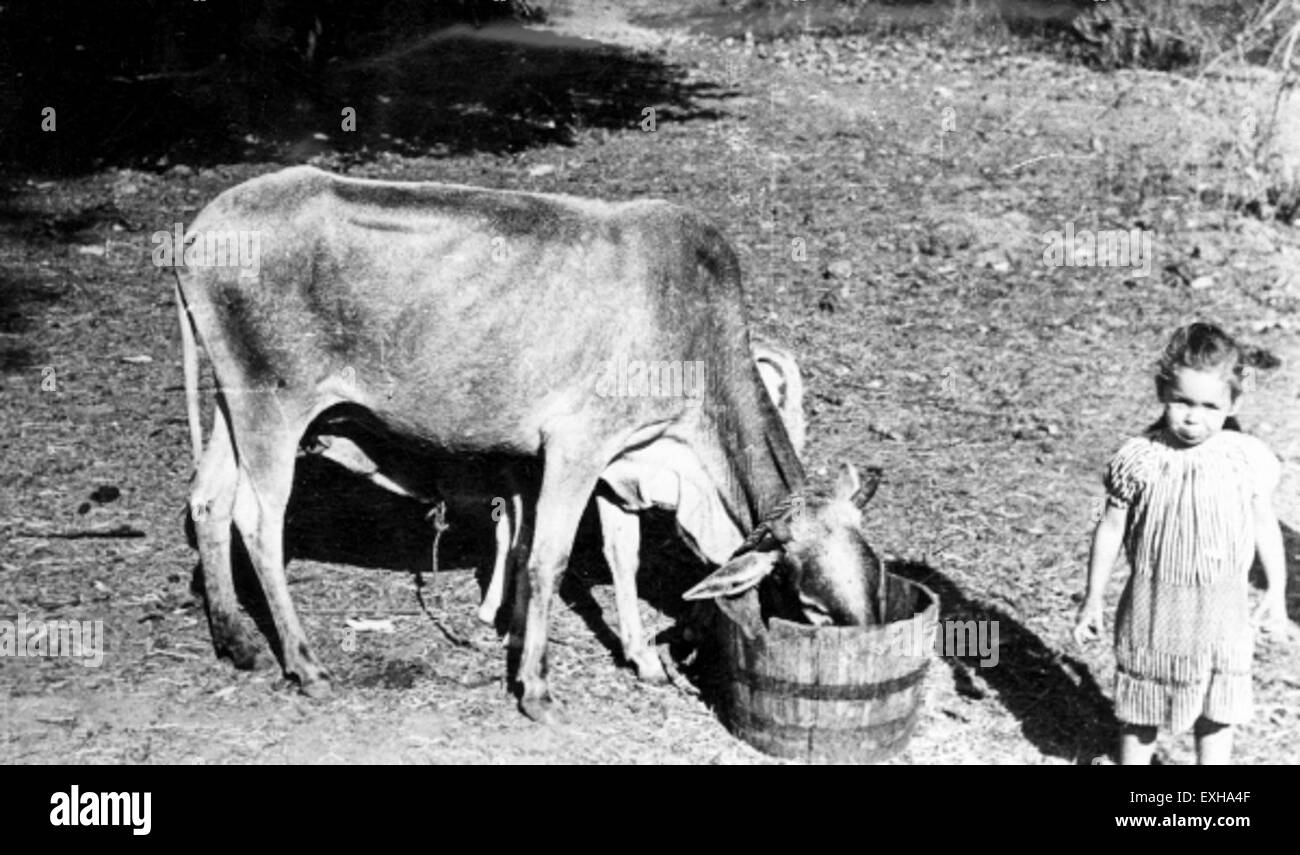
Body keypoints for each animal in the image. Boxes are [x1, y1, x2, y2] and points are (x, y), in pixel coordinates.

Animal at [176, 165, 883, 722]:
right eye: (812, 607)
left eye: (876, 583)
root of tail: (203, 224)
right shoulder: (577, 446)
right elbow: (547, 560)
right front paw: (535, 688)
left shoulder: (621, 466)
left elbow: (620, 558)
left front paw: (642, 660)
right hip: (275, 406)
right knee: (257, 521)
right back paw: (306, 665)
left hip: (233, 405)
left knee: (208, 501)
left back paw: (236, 640)